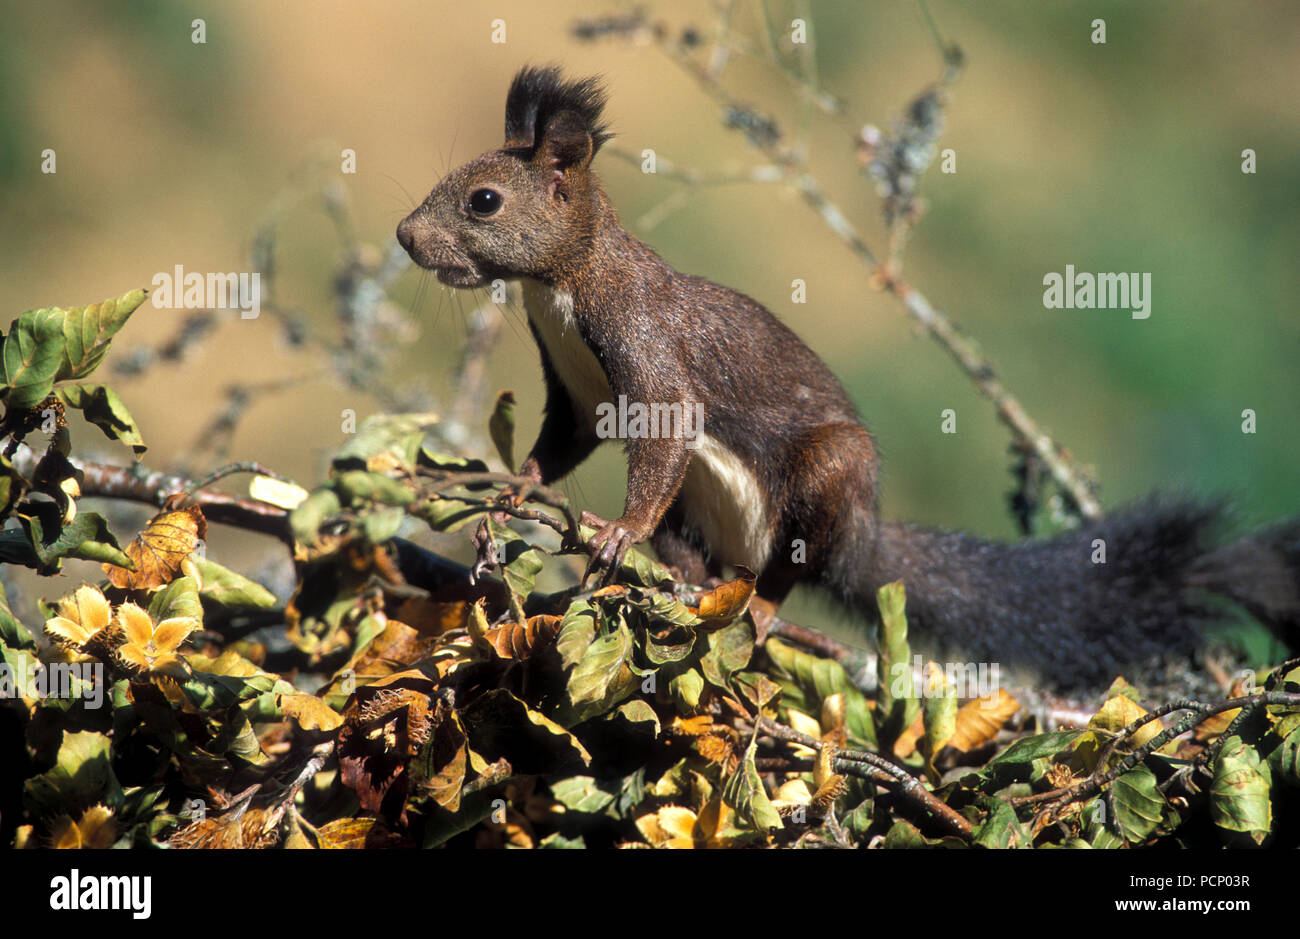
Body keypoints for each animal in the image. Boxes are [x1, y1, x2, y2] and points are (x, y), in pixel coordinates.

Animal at [397, 65, 1300, 693]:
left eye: (484, 200)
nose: (406, 236)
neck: (564, 281)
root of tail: (867, 532)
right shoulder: (579, 390)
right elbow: (560, 443)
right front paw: (515, 487)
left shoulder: (643, 342)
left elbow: (668, 430)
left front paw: (618, 529)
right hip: (712, 515)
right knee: (704, 551)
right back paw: (692, 580)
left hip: (829, 476)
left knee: (795, 564)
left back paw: (758, 604)